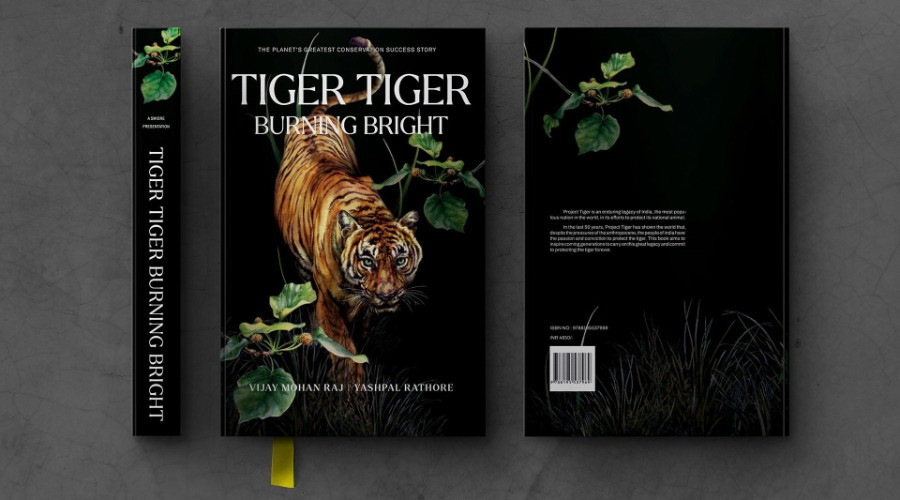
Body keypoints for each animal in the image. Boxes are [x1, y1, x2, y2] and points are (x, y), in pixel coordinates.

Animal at [274, 36, 423, 379]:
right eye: (367, 261)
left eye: (401, 260)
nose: (387, 295)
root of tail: (315, 114)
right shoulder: (328, 301)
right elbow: (345, 352)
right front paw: (349, 387)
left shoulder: (365, 306)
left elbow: (362, 333)